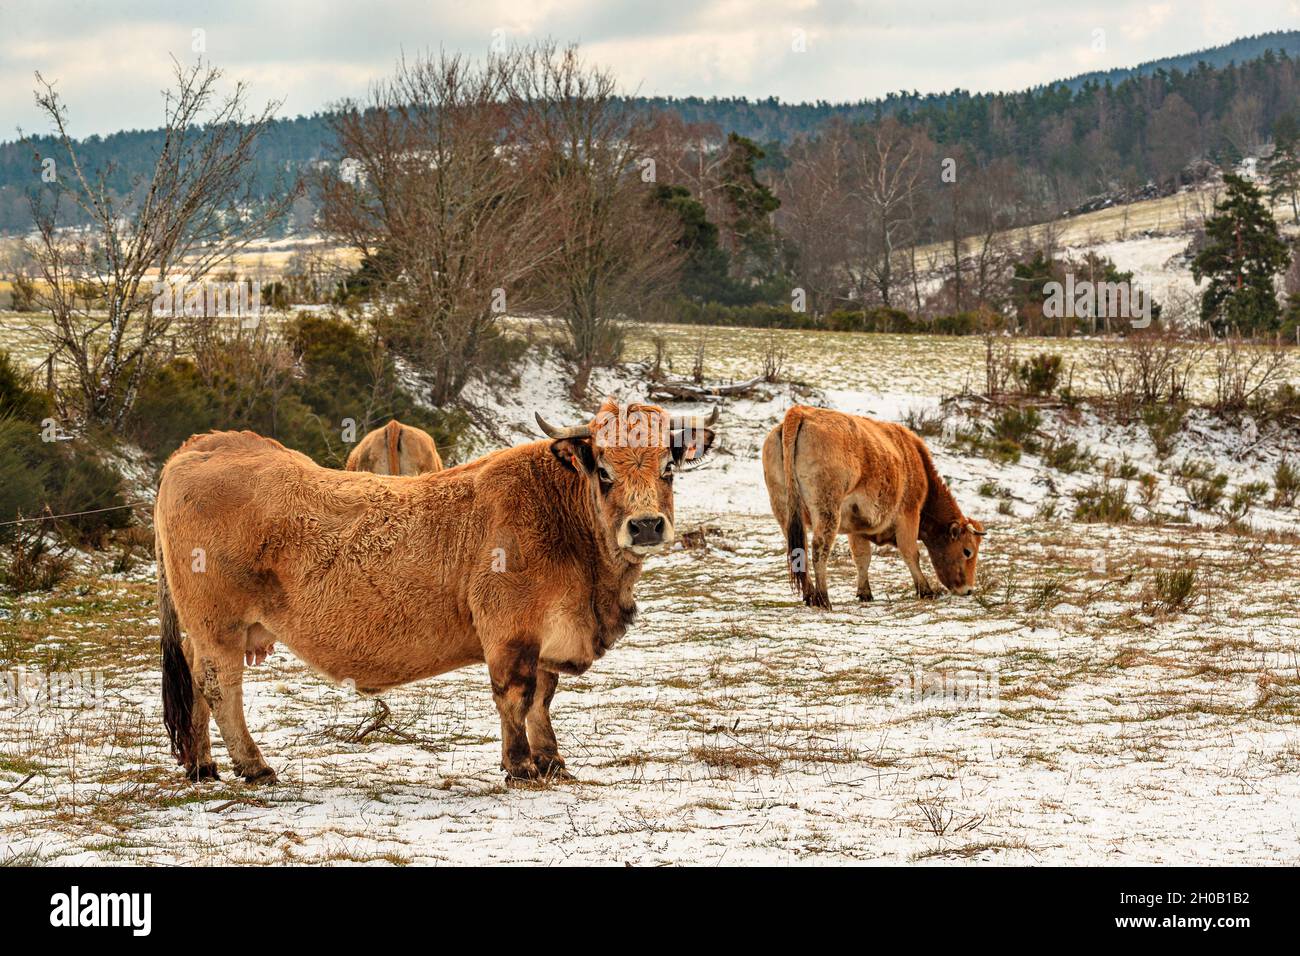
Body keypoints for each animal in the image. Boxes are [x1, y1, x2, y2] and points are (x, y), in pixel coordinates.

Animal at [155, 399, 717, 784]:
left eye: (668, 469)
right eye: (603, 470)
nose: (646, 526)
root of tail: (208, 443)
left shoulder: (548, 635)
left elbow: (543, 698)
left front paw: (552, 760)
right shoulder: (511, 633)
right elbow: (517, 696)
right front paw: (520, 765)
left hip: (217, 629)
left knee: (196, 679)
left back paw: (202, 764)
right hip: (219, 625)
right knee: (218, 686)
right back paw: (254, 765)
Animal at [761, 405, 984, 609]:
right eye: (967, 551)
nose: (968, 590)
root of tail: (801, 411)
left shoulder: (856, 527)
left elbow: (862, 558)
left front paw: (865, 593)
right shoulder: (909, 514)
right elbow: (910, 552)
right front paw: (926, 590)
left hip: (784, 508)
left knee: (800, 550)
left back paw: (810, 596)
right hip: (827, 509)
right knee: (819, 548)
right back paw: (823, 598)